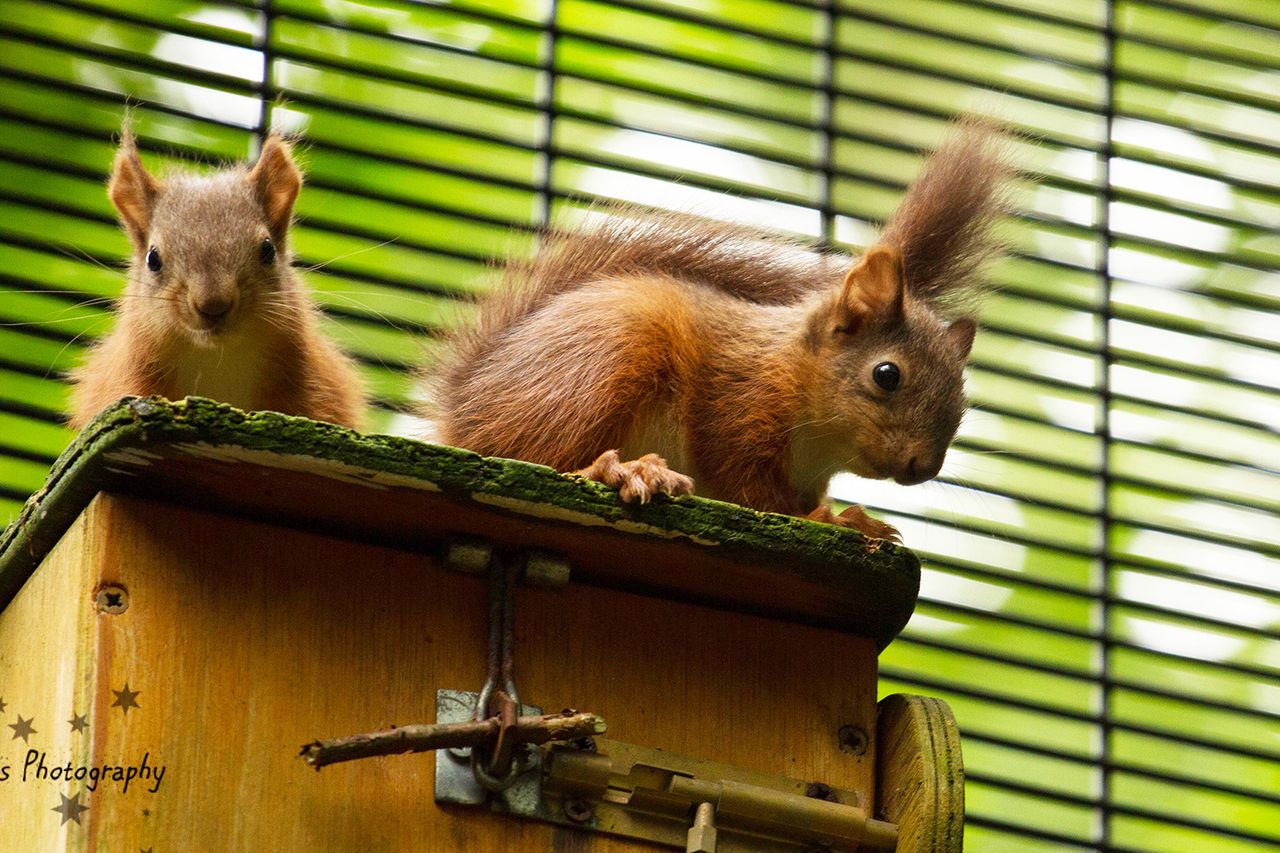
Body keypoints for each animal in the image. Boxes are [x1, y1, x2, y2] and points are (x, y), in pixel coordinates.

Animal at [430, 117, 1011, 541]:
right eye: (887, 375)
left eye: (962, 401)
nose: (922, 467)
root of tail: (463, 413)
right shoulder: (737, 411)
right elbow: (751, 492)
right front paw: (834, 519)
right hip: (599, 367)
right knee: (541, 457)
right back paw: (623, 471)